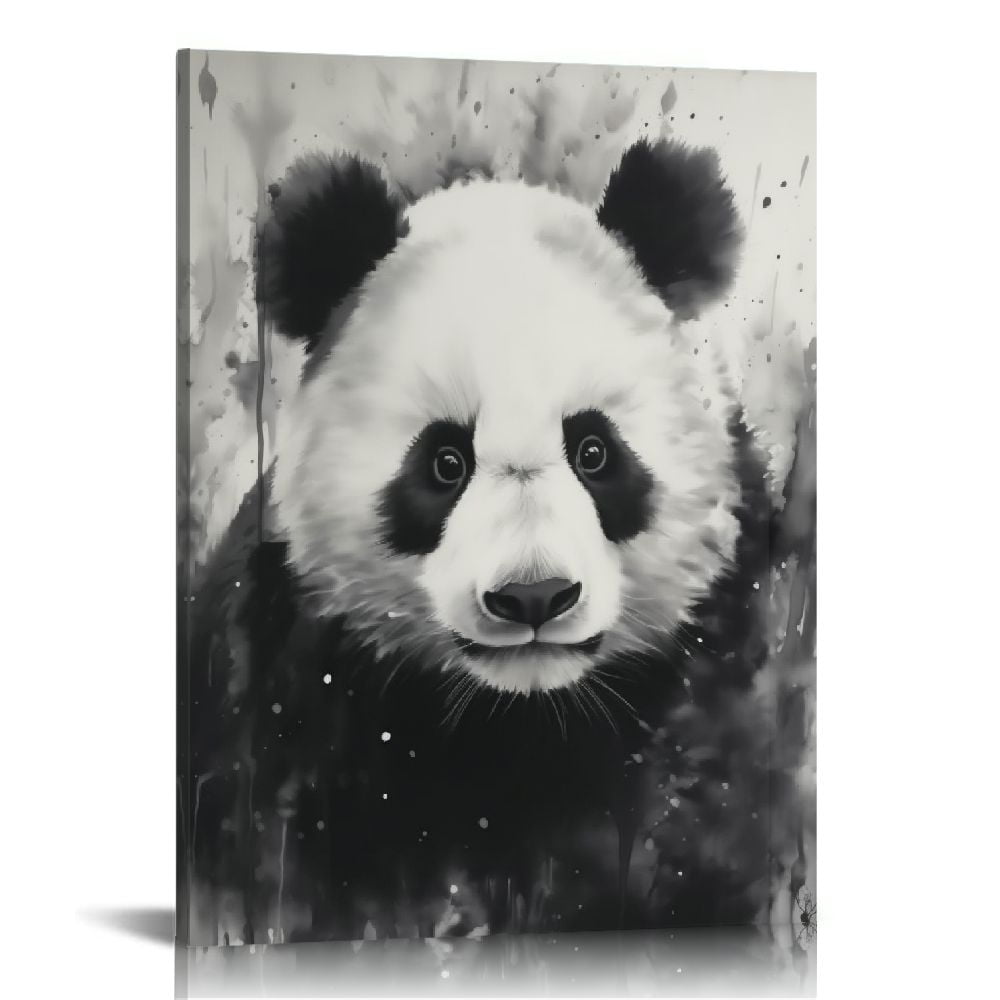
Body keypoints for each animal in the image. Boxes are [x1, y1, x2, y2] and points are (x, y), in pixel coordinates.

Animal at [180, 138, 779, 945]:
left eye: (594, 451)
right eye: (444, 462)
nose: (534, 597)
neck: (518, 720)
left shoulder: (704, 678)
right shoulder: (294, 689)